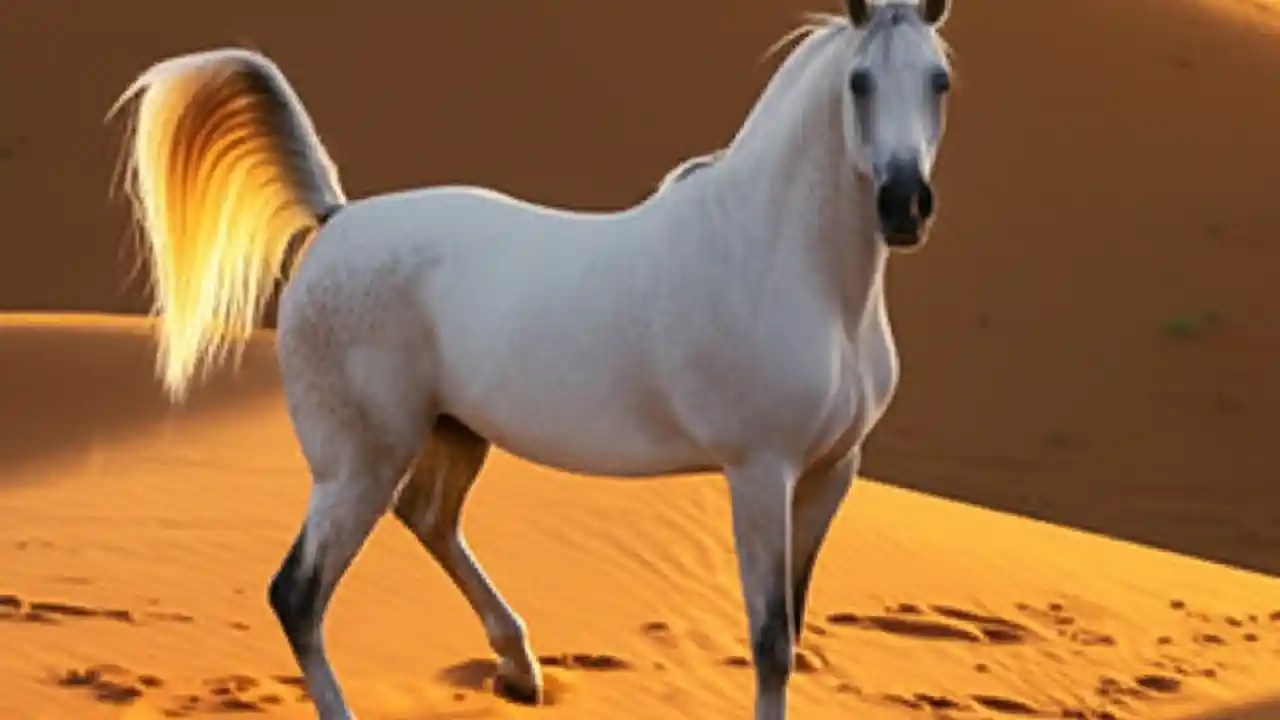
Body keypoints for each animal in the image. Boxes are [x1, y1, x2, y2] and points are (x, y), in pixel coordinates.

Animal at [107, 1, 954, 717]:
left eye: (939, 79)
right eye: (859, 82)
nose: (904, 206)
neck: (792, 266)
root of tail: (336, 218)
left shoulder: (830, 471)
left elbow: (795, 631)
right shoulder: (759, 472)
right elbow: (771, 641)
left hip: (454, 432)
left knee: (429, 520)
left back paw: (520, 668)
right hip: (355, 467)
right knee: (298, 595)